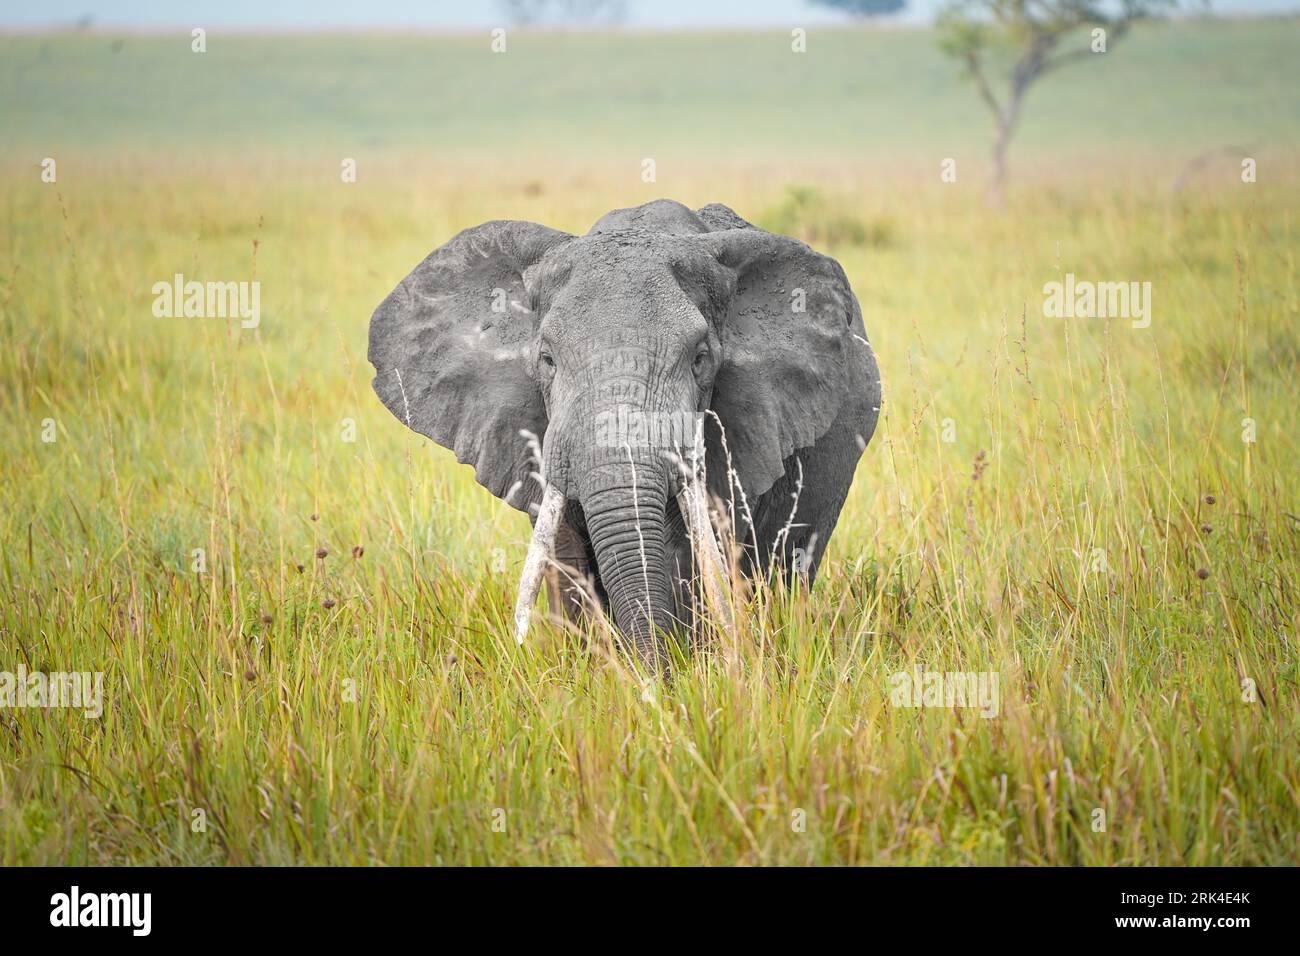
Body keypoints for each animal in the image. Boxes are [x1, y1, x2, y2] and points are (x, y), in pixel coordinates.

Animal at [368, 199, 882, 672]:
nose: (652, 681)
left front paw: (685, 674)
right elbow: (566, 556)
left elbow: (694, 558)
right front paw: (595, 675)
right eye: (547, 360)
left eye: (700, 359)